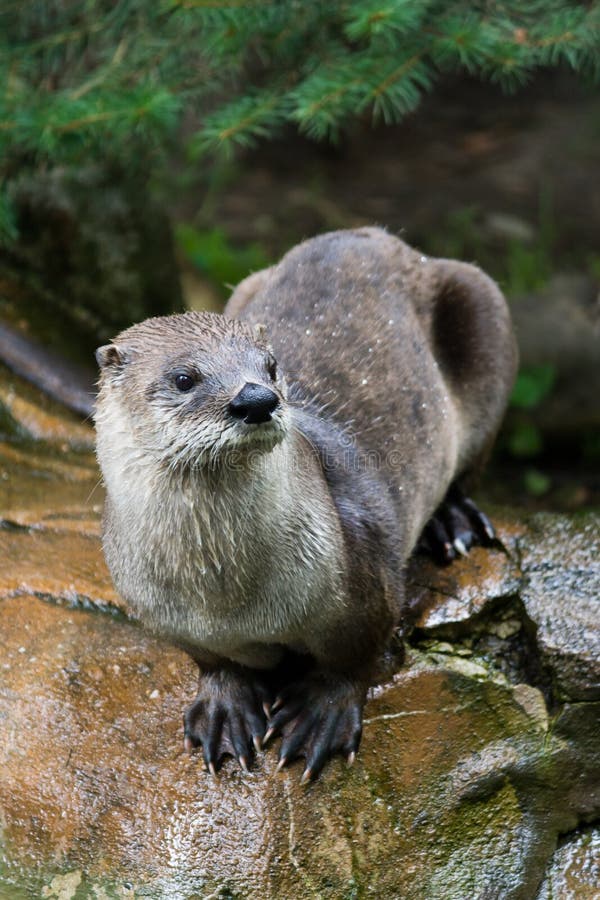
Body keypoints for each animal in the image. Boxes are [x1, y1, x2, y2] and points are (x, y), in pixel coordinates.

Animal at [95, 227, 517, 781]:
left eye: (271, 367)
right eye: (184, 378)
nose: (257, 399)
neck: (226, 598)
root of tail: (367, 234)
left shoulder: (362, 576)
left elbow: (355, 658)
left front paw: (322, 712)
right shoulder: (167, 618)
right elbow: (214, 663)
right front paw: (225, 707)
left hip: (482, 305)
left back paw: (451, 522)